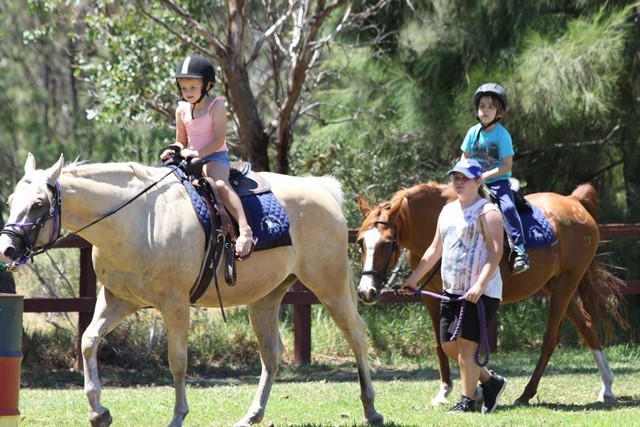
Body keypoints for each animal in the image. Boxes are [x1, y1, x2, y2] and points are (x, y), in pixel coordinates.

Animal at [0, 153, 383, 427]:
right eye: (11, 199)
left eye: (38, 204)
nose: (7, 249)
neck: (135, 220)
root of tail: (323, 192)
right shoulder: (117, 301)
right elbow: (89, 341)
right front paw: (98, 411)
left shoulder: (175, 306)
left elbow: (178, 362)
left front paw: (177, 416)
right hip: (265, 300)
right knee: (272, 355)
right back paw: (252, 416)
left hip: (330, 286)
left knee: (357, 335)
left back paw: (371, 410)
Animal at [356, 180, 626, 407]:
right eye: (360, 242)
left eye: (387, 243)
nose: (366, 291)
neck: (437, 223)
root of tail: (574, 202)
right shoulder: (431, 296)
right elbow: (441, 344)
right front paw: (445, 391)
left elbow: (465, 345)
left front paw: (475, 390)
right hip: (556, 284)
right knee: (586, 325)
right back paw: (607, 386)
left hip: (568, 282)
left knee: (551, 338)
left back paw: (526, 394)